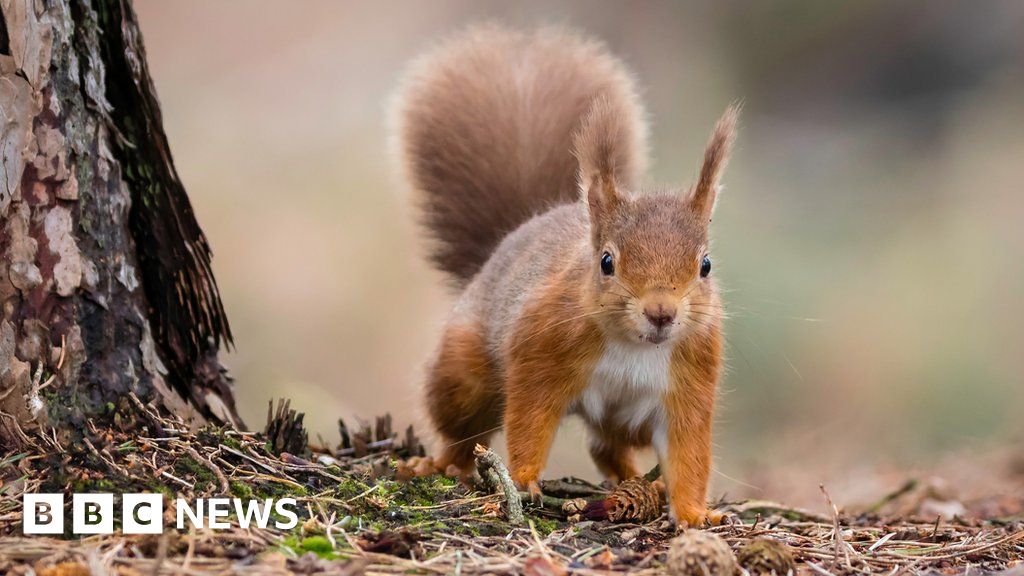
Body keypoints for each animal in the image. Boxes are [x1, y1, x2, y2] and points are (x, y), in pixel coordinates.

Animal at [393, 24, 737, 527]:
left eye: (705, 265)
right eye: (607, 262)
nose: (661, 313)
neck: (633, 345)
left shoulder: (690, 384)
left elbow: (689, 453)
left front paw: (695, 514)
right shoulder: (540, 355)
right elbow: (529, 420)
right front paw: (523, 479)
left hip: (625, 422)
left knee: (607, 448)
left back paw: (634, 482)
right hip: (464, 376)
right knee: (461, 428)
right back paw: (440, 464)